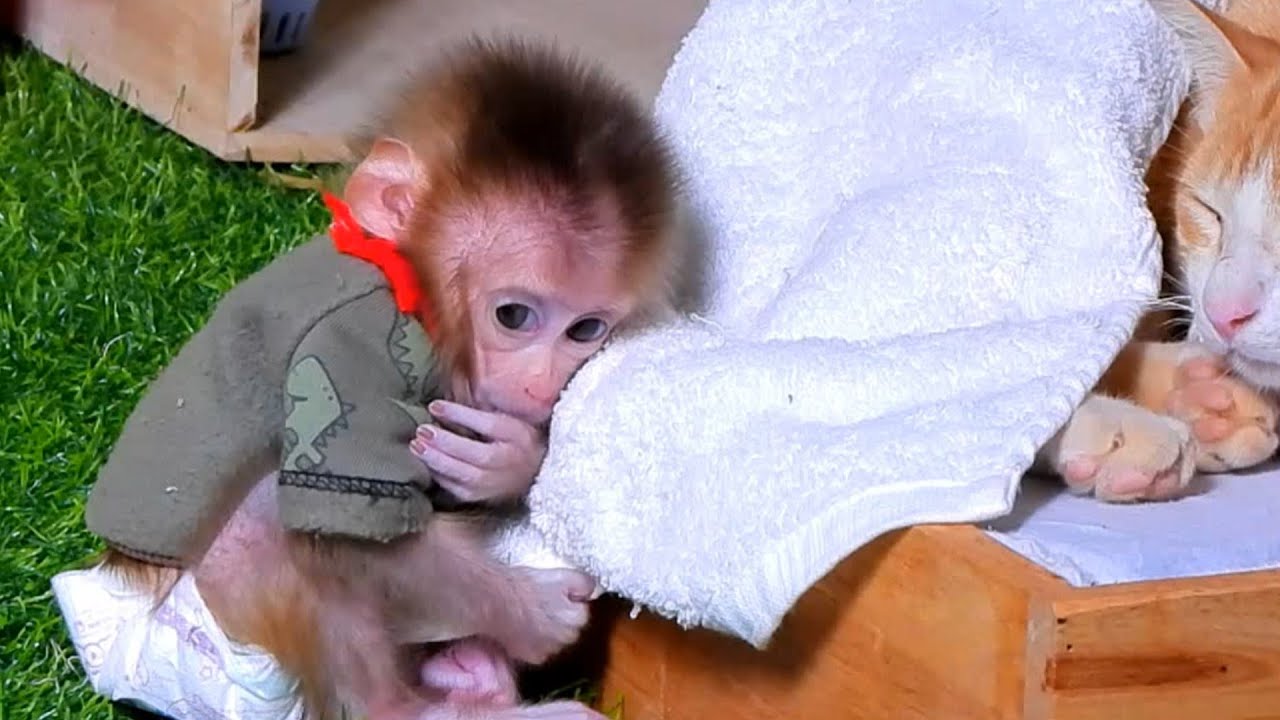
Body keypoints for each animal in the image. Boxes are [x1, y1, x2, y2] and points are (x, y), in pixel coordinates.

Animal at [77, 36, 683, 720]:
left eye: (586, 330)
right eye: (514, 315)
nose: (539, 386)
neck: (400, 272)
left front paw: (507, 461)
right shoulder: (352, 344)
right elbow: (352, 537)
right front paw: (532, 614)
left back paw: (477, 681)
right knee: (273, 524)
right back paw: (418, 707)